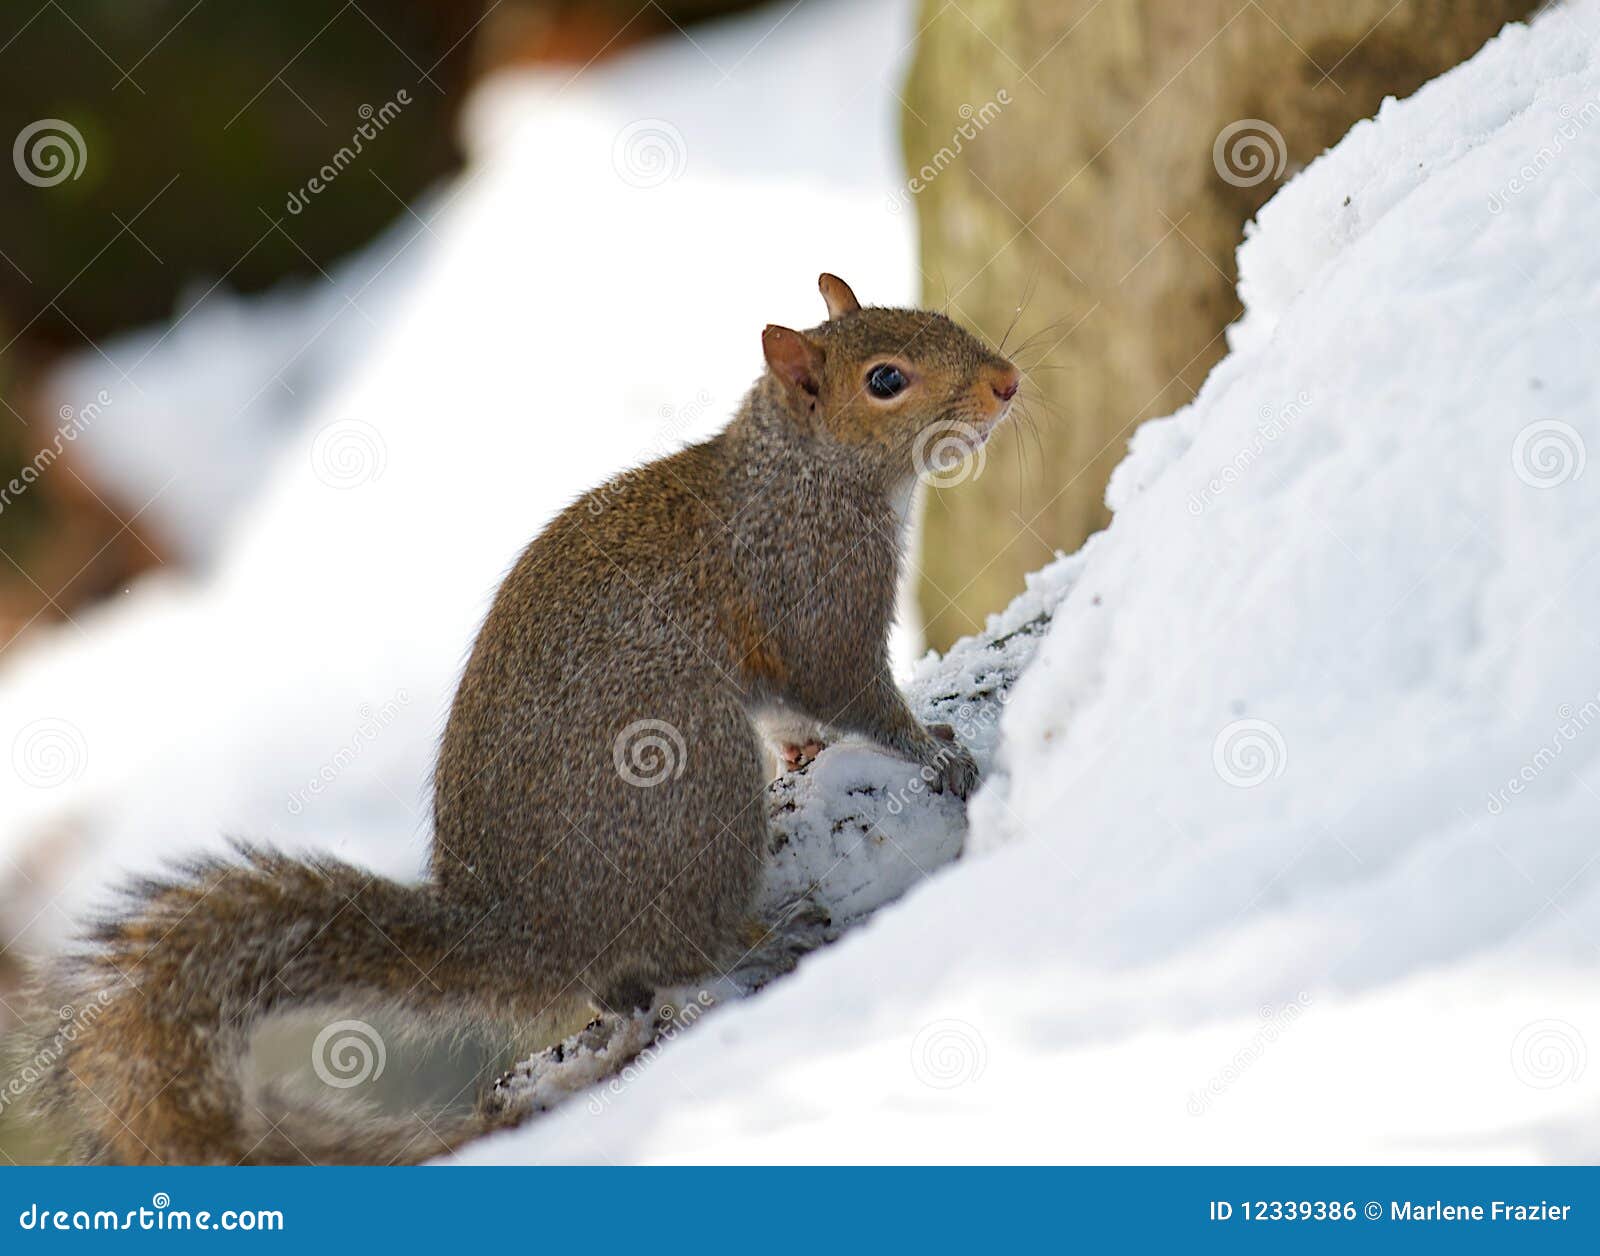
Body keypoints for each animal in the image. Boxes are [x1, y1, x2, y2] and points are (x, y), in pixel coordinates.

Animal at [23, 273, 1020, 1165]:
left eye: (934, 314)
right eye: (885, 379)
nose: (1008, 382)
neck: (806, 470)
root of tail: (527, 928)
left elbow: (793, 712)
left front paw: (810, 755)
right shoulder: (810, 591)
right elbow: (846, 687)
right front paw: (931, 750)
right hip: (686, 764)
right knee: (683, 947)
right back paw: (765, 934)